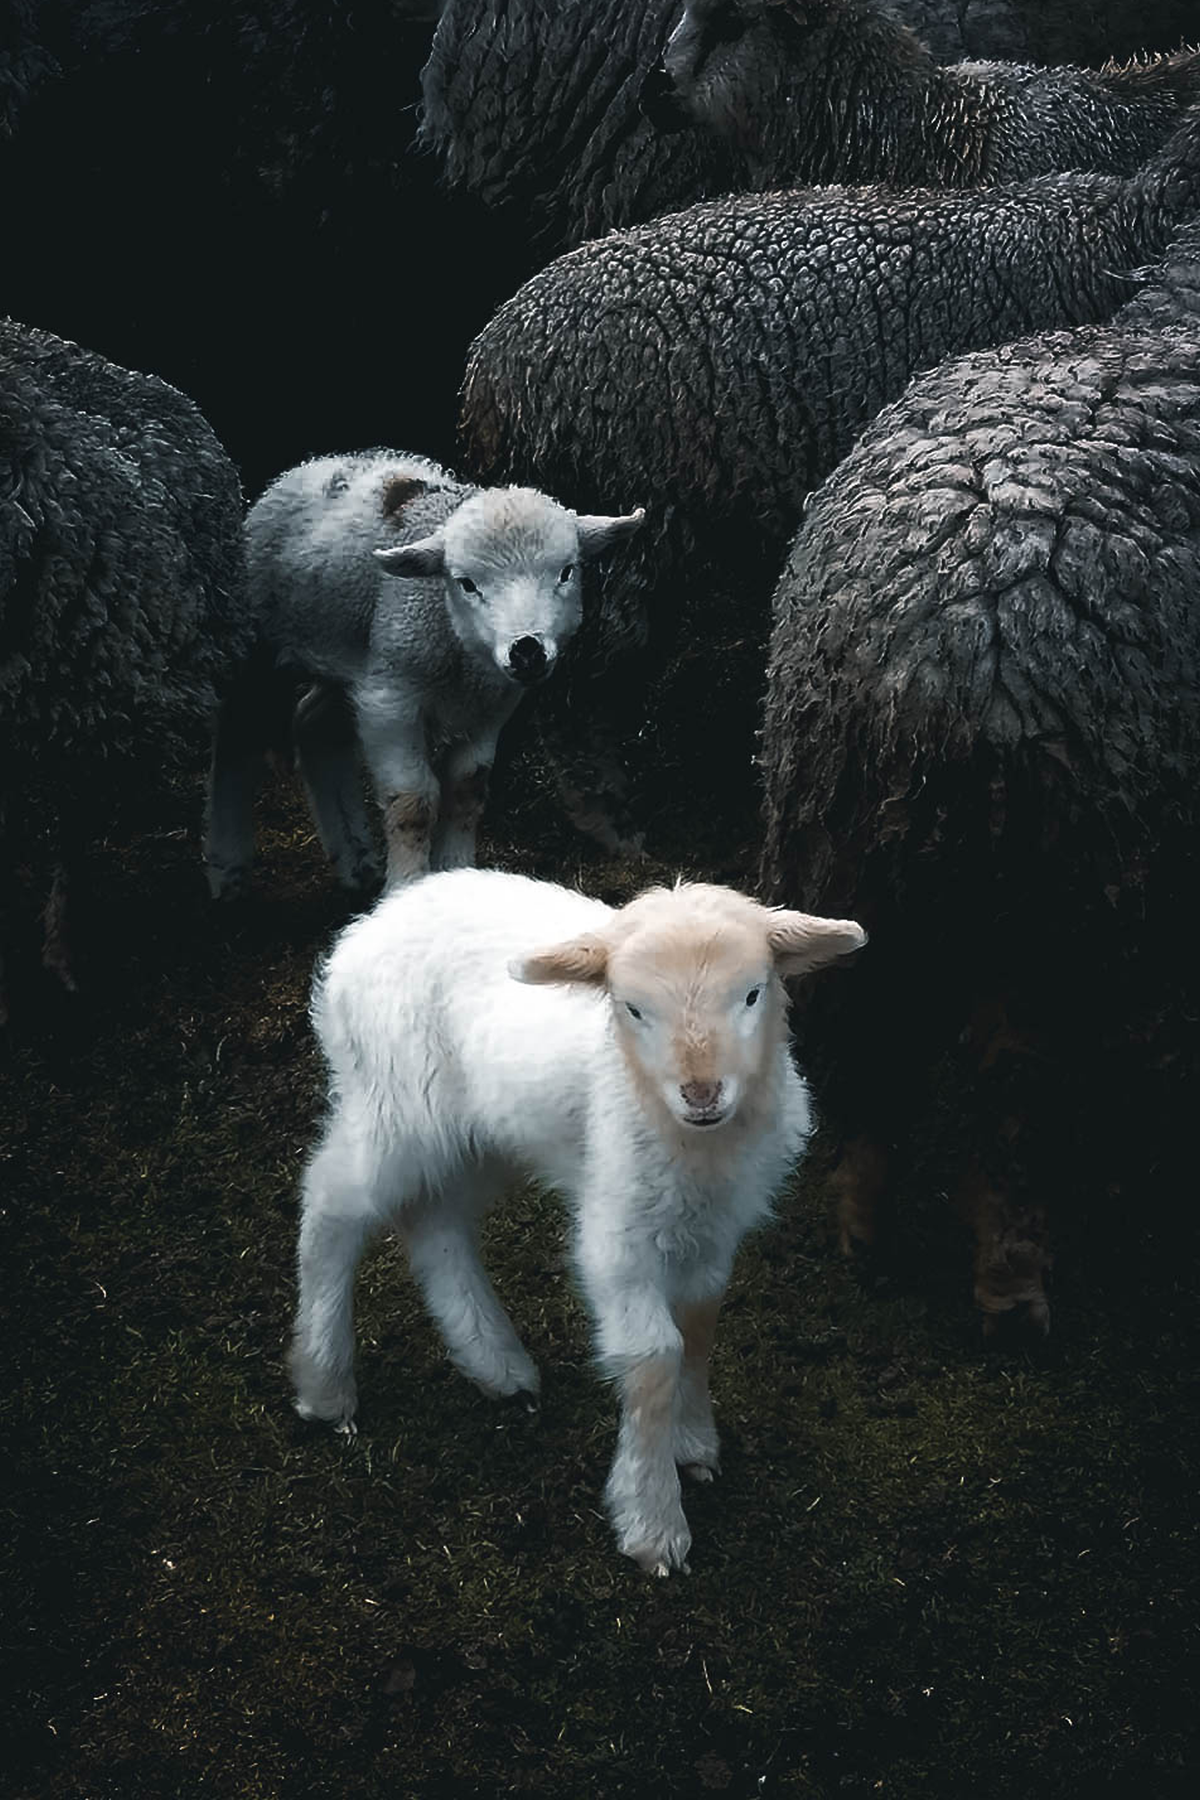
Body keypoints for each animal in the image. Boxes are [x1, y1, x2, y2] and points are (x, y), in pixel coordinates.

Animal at [205, 453, 644, 897]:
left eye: (566, 572)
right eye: (466, 584)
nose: (527, 650)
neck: (462, 658)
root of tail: (314, 465)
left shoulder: (488, 709)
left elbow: (467, 790)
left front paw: (457, 874)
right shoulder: (390, 701)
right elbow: (412, 801)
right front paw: (406, 888)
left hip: (354, 660)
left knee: (314, 726)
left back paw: (355, 860)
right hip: (262, 643)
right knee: (237, 733)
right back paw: (228, 867)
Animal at [289, 866, 866, 1574]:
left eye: (753, 994)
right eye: (633, 1008)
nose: (702, 1094)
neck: (695, 1142)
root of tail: (369, 925)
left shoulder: (713, 1229)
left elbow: (698, 1328)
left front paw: (692, 1441)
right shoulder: (618, 1227)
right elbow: (655, 1354)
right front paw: (653, 1521)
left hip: (477, 1131)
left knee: (435, 1221)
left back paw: (496, 1363)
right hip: (393, 1103)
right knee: (333, 1205)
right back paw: (325, 1385)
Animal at [757, 212, 1200, 1335]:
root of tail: (946, 650)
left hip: (844, 843)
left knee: (869, 1045)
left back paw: (866, 1230)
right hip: (1055, 900)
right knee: (1015, 1103)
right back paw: (1012, 1283)